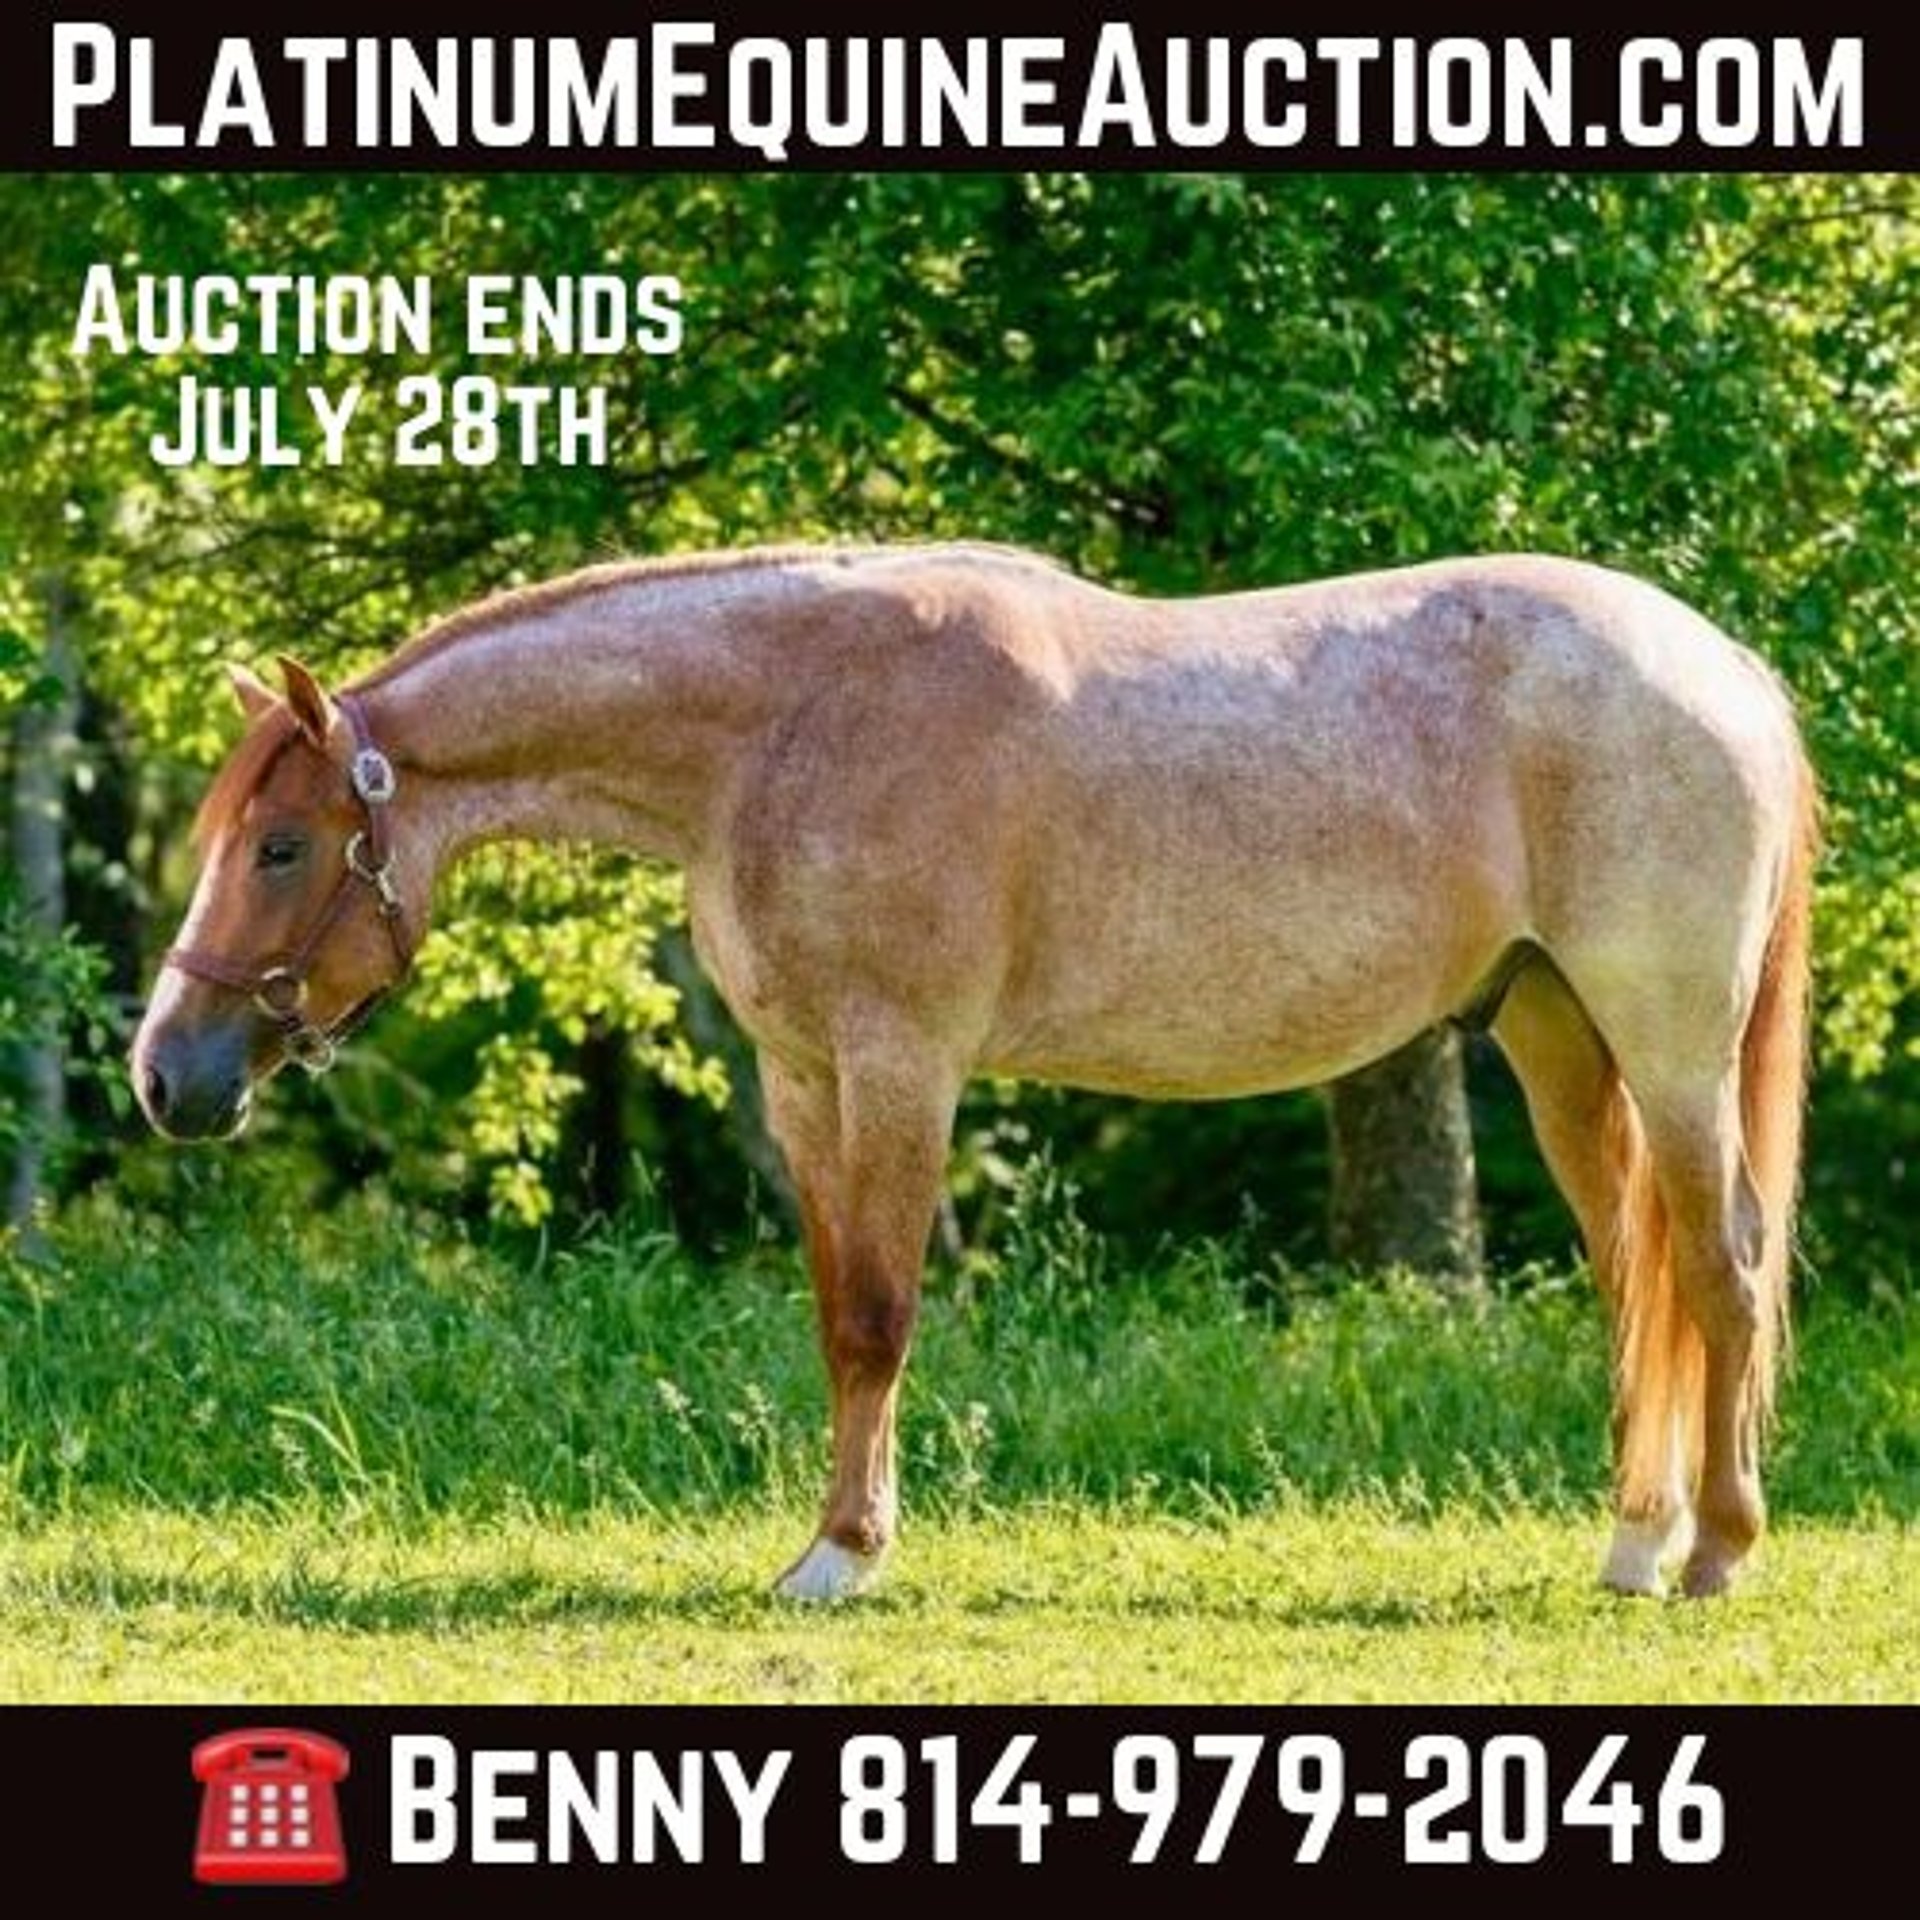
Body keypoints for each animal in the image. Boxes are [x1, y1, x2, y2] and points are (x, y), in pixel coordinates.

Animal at [129, 542, 1816, 1602]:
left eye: (280, 847)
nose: (165, 1075)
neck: (784, 721)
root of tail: (1724, 665)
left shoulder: (902, 1062)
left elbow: (882, 1314)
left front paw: (841, 1559)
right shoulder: (805, 1077)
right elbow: (835, 1316)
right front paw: (830, 1538)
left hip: (1666, 1041)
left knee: (1722, 1258)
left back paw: (1717, 1552)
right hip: (1557, 1036)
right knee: (1638, 1275)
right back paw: (1635, 1543)